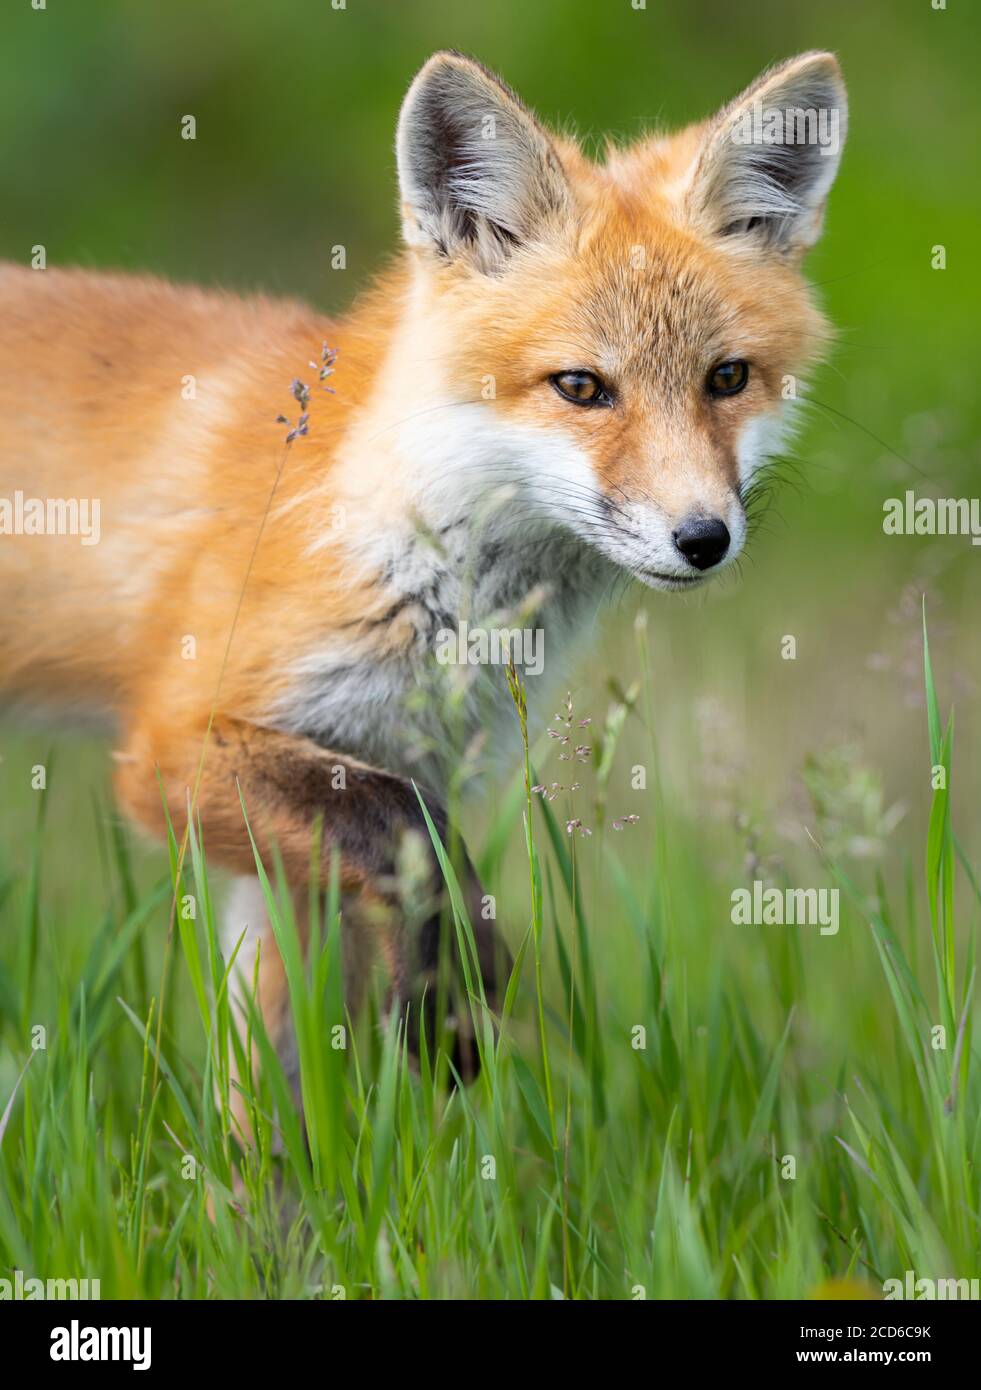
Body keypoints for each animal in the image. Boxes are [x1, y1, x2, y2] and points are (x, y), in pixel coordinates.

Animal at [0, 50, 846, 1130]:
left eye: (727, 378)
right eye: (581, 388)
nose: (703, 538)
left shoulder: (364, 782)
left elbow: (275, 1079)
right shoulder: (173, 749)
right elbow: (414, 838)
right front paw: (453, 1002)